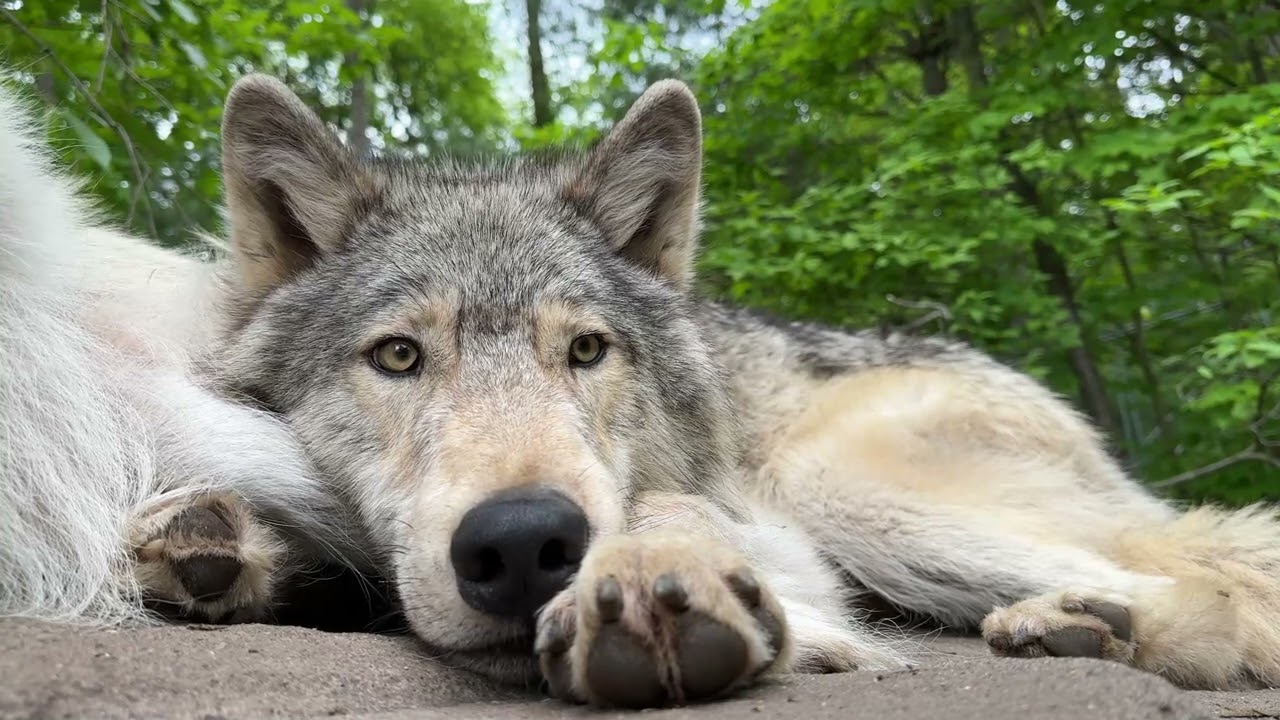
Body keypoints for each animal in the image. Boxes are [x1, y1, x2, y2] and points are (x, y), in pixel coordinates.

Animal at [3, 70, 1280, 708]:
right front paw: (219, 548)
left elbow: (666, 510)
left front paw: (655, 580)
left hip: (838, 487)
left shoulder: (770, 529)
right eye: (399, 357)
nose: (522, 544)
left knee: (1211, 590)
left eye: (586, 352)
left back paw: (1095, 627)